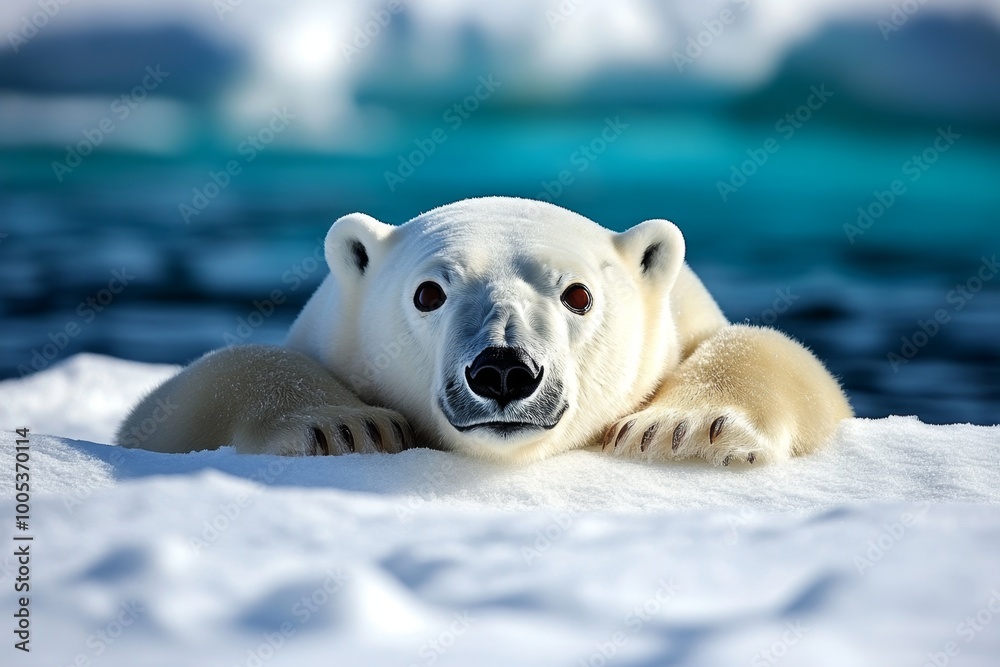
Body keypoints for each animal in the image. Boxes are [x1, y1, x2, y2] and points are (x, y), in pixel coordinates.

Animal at [117, 196, 852, 465]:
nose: (503, 369)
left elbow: (781, 355)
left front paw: (686, 430)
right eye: (429, 292)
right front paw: (343, 427)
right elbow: (184, 396)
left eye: (578, 294)